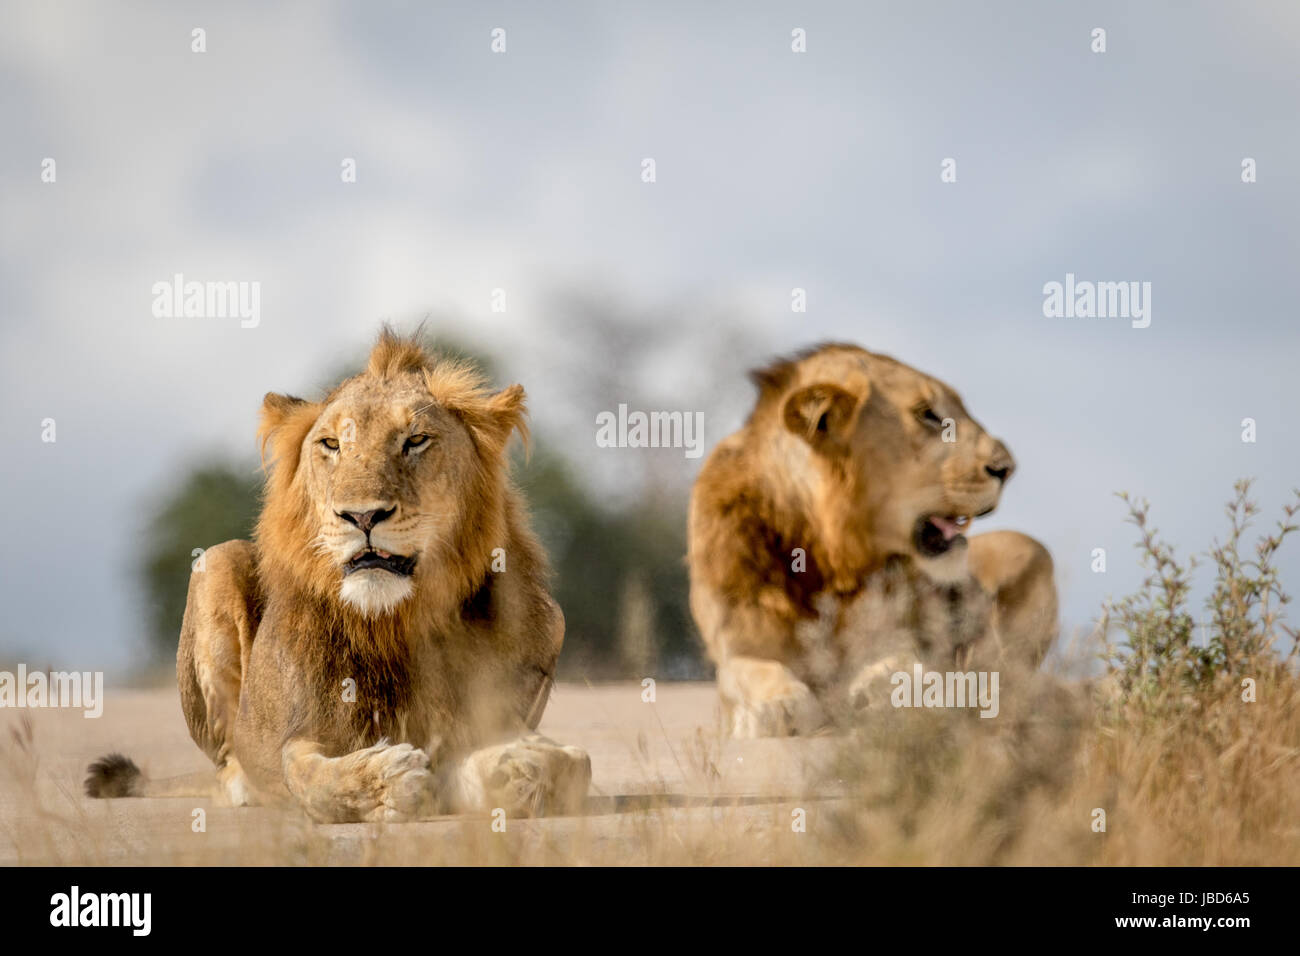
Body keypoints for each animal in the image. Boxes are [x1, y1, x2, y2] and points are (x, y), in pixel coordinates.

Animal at [85, 329, 590, 821]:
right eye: (331, 445)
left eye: (416, 440)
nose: (362, 516)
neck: (393, 624)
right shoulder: (298, 735)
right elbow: (310, 779)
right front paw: (384, 783)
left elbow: (564, 764)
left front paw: (519, 769)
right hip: (216, 560)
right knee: (227, 763)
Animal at [687, 342, 1057, 737]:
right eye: (928, 414)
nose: (1007, 468)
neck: (827, 558)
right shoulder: (737, 645)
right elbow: (749, 671)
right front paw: (778, 705)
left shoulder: (901, 634)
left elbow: (902, 661)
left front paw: (880, 690)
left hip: (1029, 548)